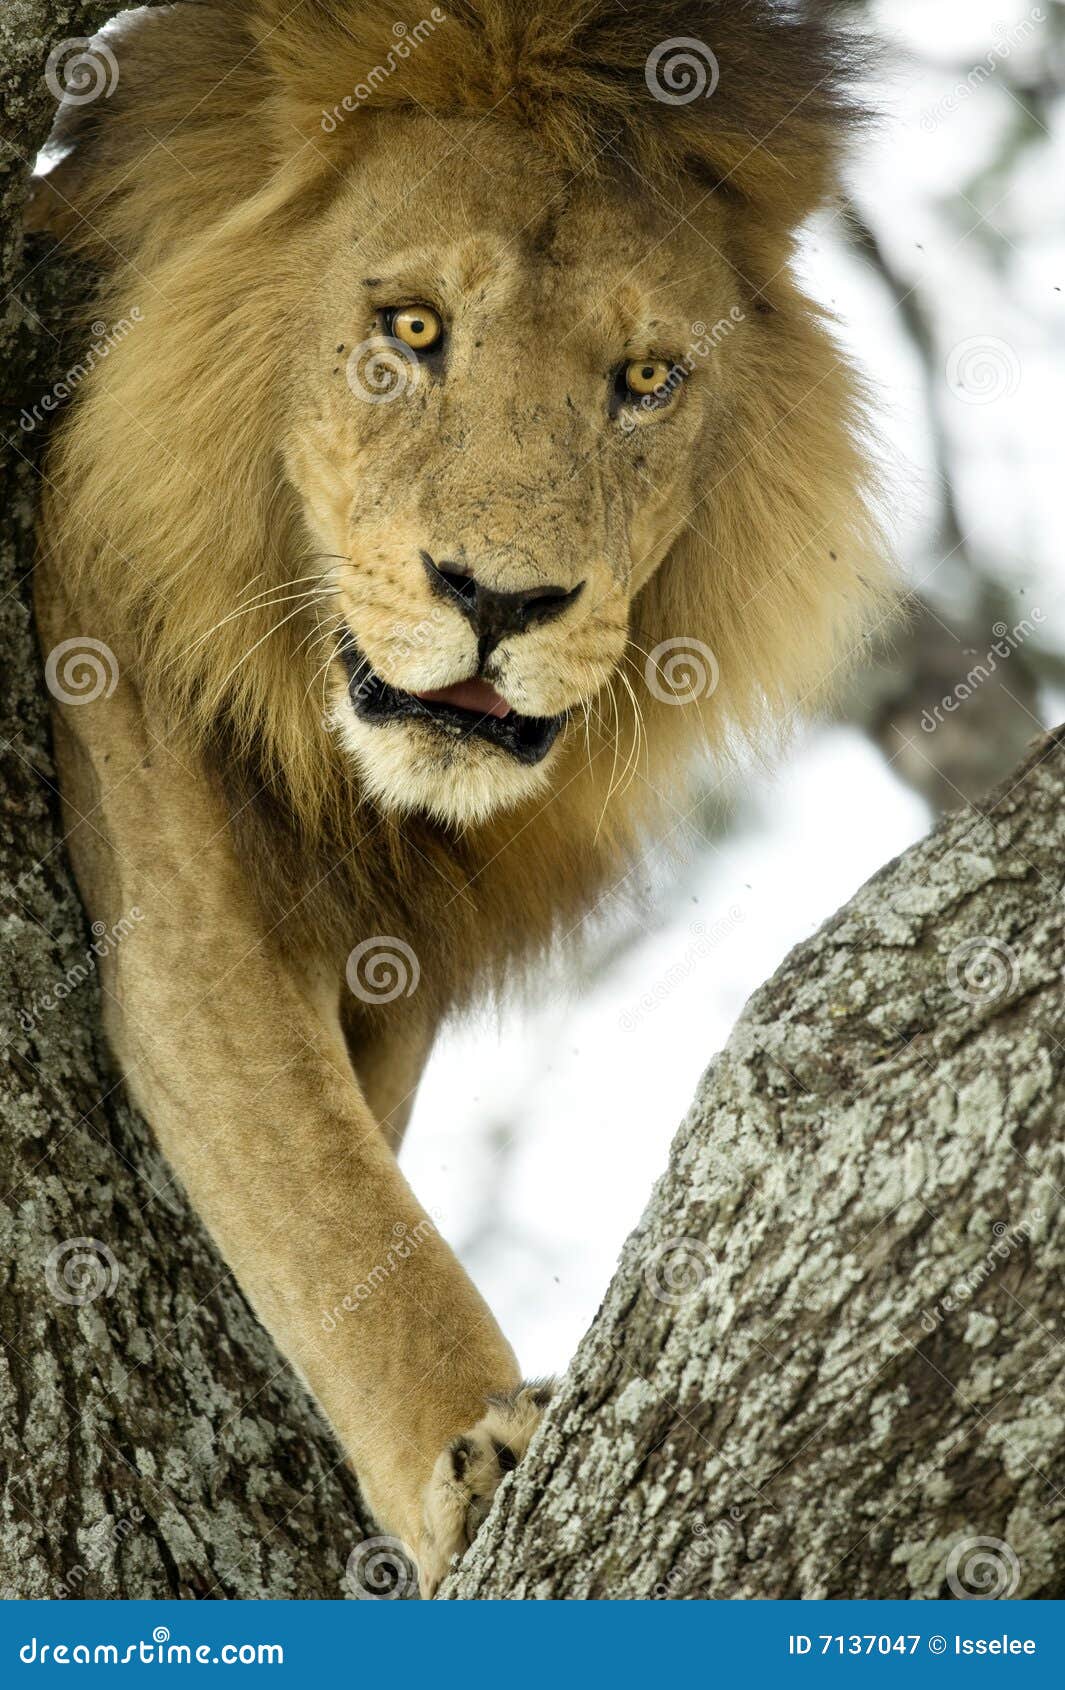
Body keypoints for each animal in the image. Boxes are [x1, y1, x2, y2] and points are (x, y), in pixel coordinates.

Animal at [32, 0, 887, 1594]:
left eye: (646, 380)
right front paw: (469, 1455)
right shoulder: (167, 857)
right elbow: (332, 1207)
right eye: (411, 328)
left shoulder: (408, 951)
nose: (500, 599)